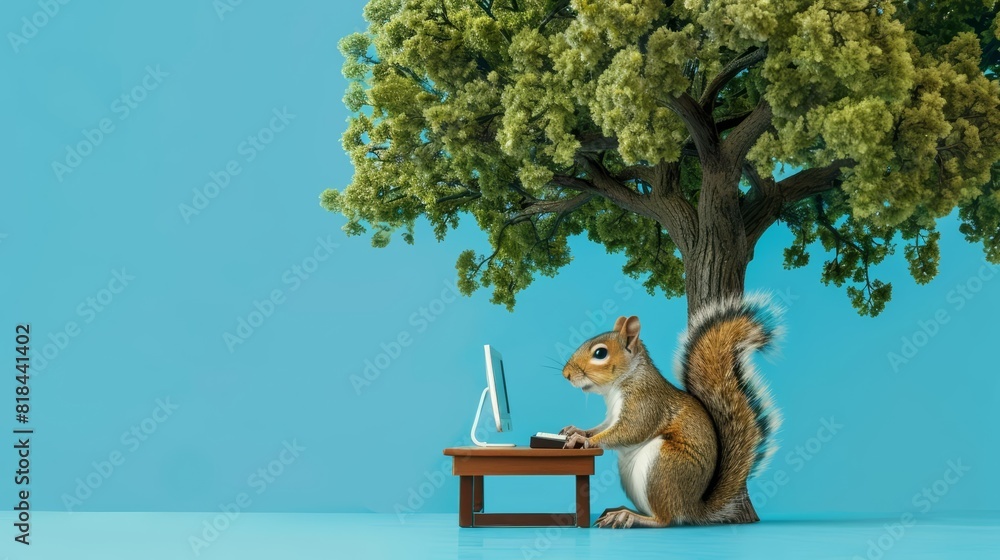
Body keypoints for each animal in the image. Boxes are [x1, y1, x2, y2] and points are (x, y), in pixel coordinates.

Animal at [559, 294, 782, 528]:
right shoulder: (612, 416)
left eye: (600, 353)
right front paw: (577, 431)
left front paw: (584, 441)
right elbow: (602, 427)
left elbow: (630, 431)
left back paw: (628, 516)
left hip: (663, 468)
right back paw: (620, 510)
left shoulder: (646, 404)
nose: (566, 374)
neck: (624, 381)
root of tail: (692, 507)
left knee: (664, 519)